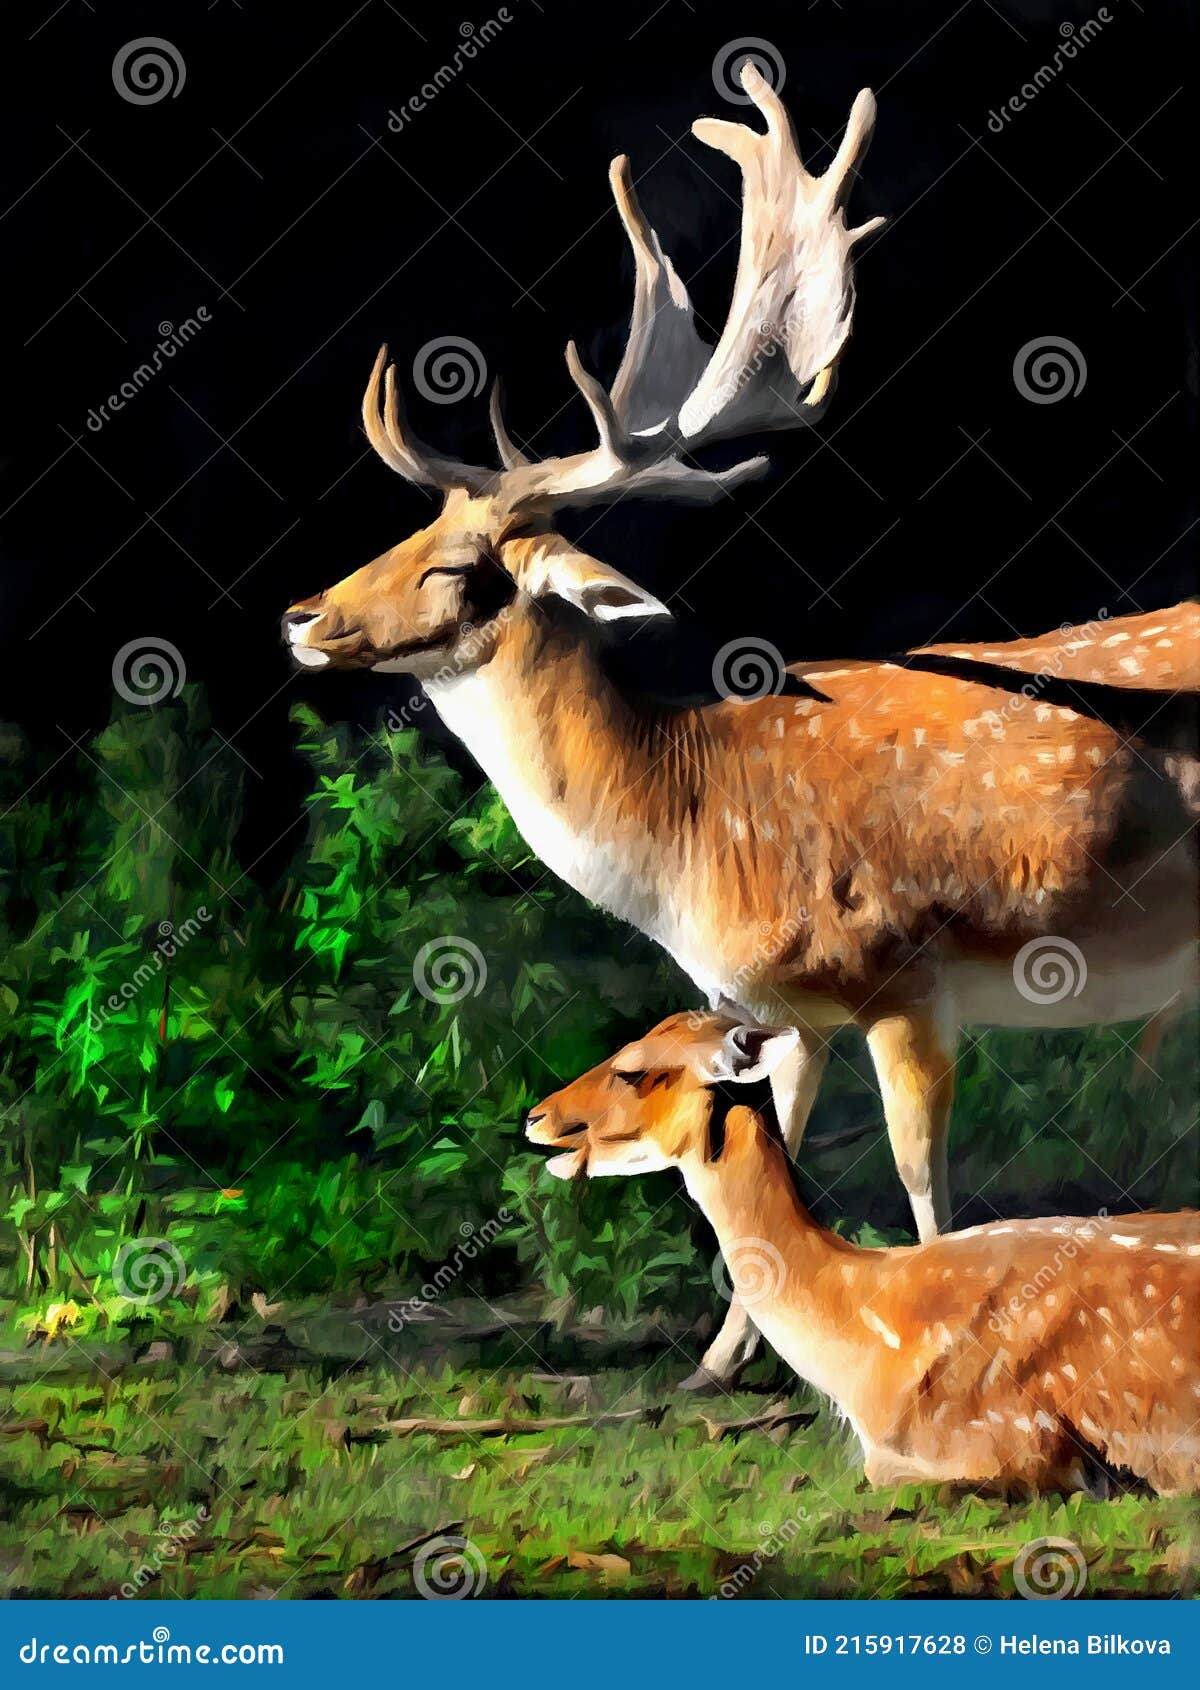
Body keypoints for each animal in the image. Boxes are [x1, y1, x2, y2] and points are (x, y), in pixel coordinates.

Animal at [283, 65, 1200, 1389]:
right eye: (403, 534)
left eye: (456, 566)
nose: (302, 616)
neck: (691, 833)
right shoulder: (774, 1005)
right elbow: (777, 1142)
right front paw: (717, 1363)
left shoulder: (909, 976)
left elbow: (921, 1180)